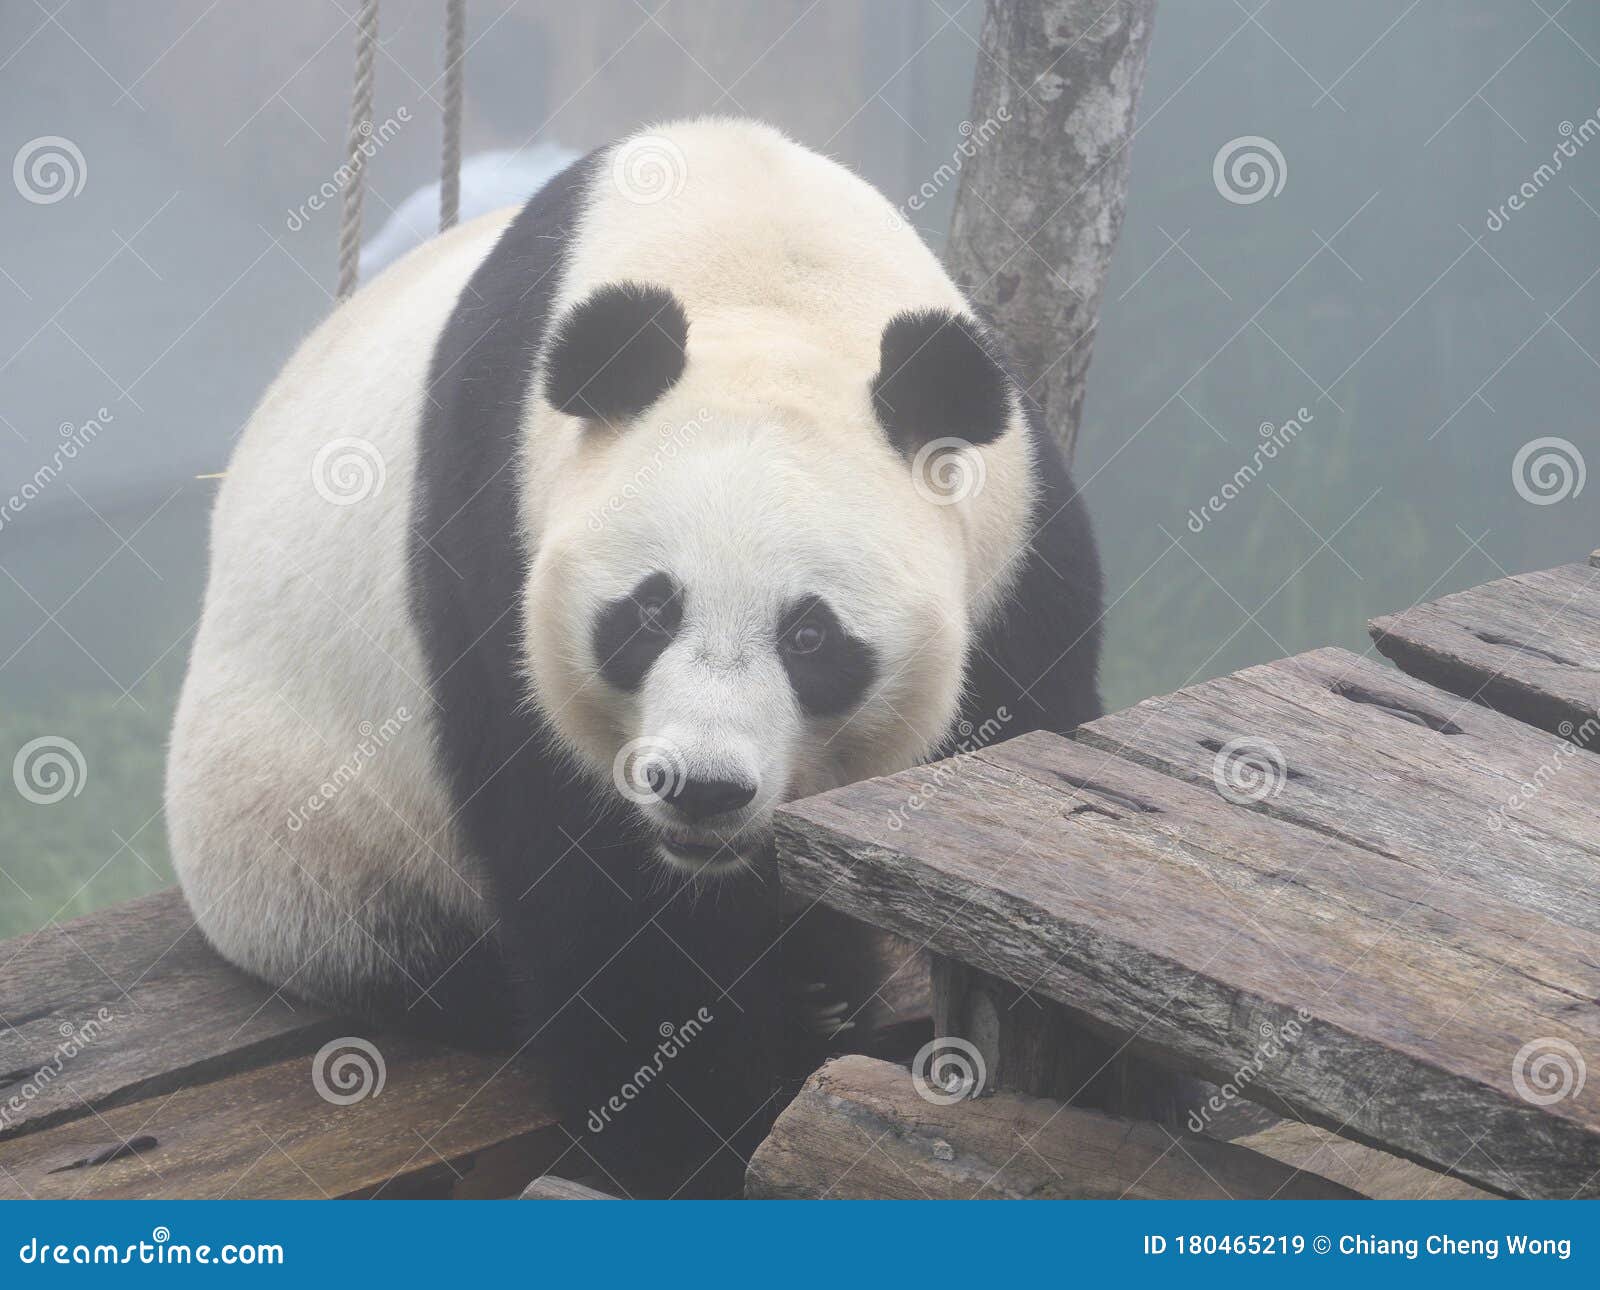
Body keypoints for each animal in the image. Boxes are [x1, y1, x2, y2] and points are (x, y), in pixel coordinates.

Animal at [165, 118, 1102, 1191]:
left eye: (810, 636)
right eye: (649, 615)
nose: (700, 789)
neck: (765, 271)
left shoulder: (1015, 548)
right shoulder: (493, 530)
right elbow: (586, 888)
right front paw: (682, 1139)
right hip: (298, 829)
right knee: (392, 939)